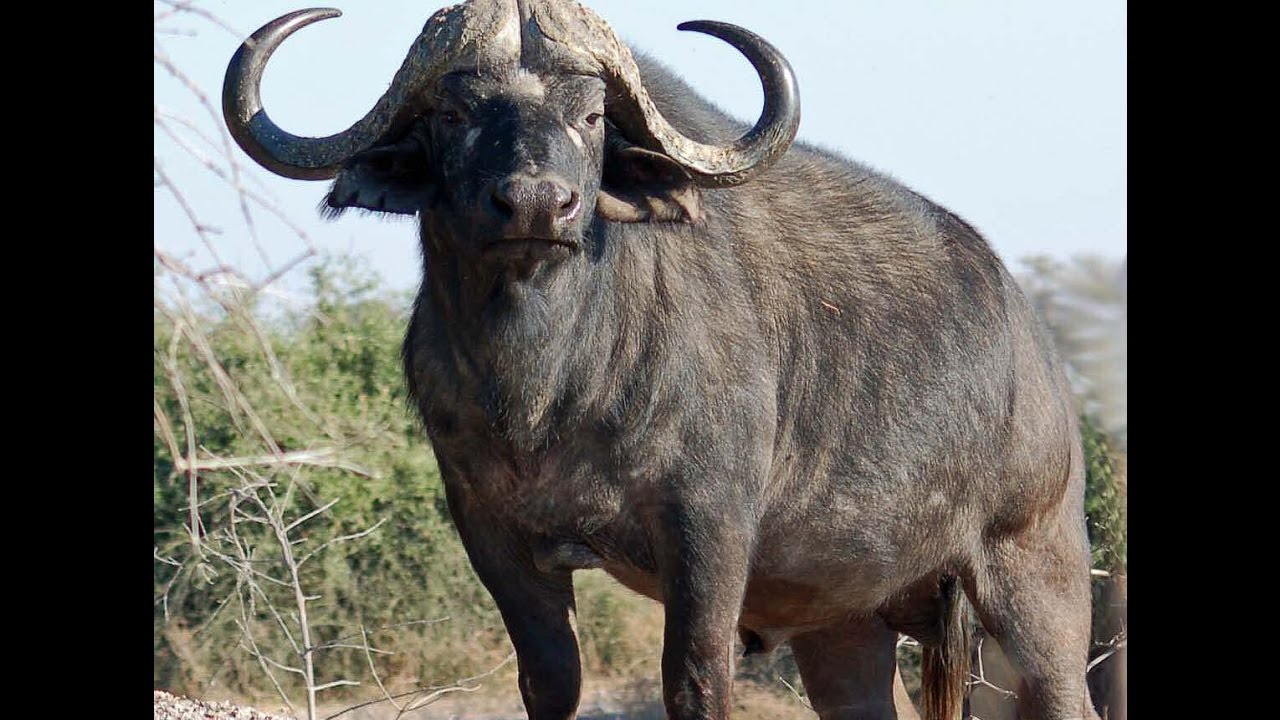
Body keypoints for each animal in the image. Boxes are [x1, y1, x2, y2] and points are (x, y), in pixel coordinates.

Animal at [223, 2, 1101, 719]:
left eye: (589, 116)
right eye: (453, 112)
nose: (537, 204)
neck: (547, 387)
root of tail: (1036, 350)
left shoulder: (707, 525)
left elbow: (695, 678)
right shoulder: (492, 532)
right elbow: (550, 681)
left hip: (1035, 576)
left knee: (1063, 691)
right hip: (843, 623)